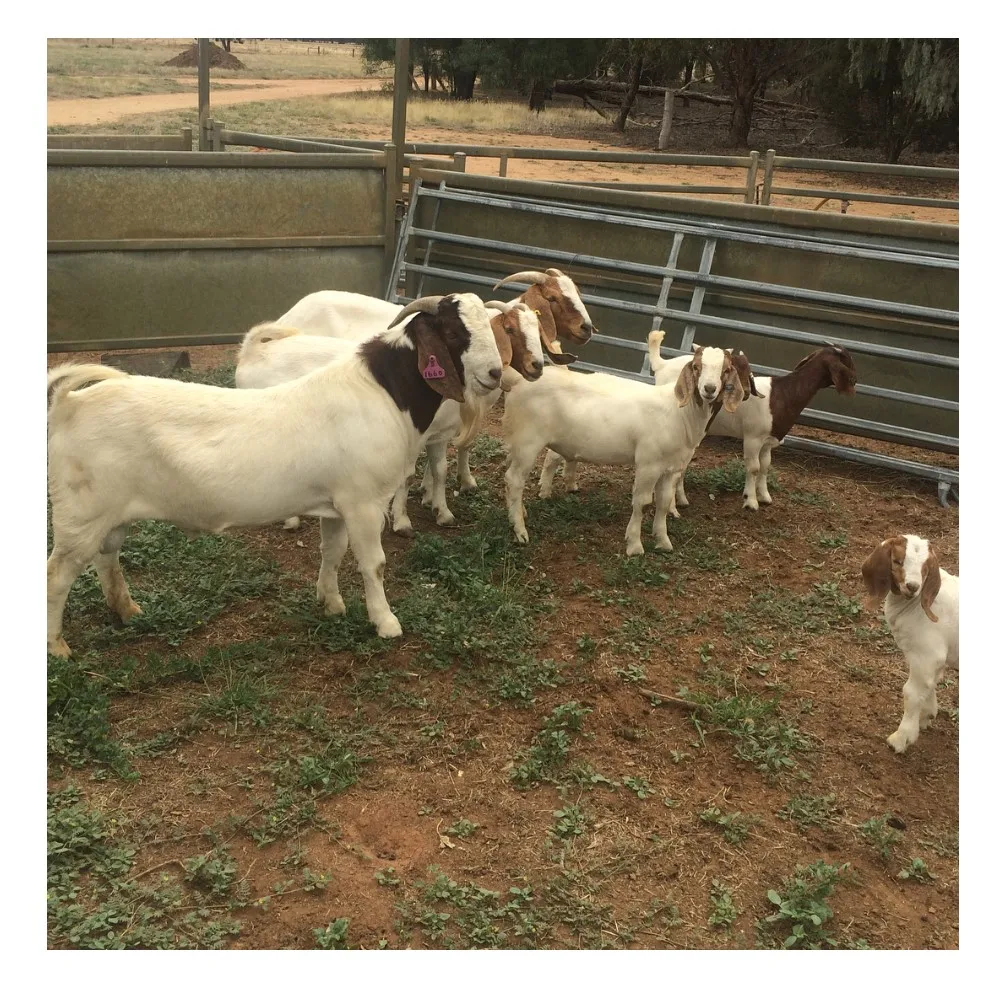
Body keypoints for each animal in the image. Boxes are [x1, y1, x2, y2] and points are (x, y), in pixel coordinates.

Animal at [46, 294, 502, 655]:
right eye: (453, 331)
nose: (496, 373)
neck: (383, 391)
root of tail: (70, 404)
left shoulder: (337, 503)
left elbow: (332, 552)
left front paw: (331, 603)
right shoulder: (364, 501)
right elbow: (373, 564)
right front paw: (386, 622)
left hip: (107, 514)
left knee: (107, 558)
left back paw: (127, 611)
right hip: (79, 515)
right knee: (56, 576)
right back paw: (58, 649)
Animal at [502, 346, 750, 554]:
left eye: (726, 370)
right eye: (697, 366)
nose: (709, 389)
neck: (680, 413)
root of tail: (519, 381)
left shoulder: (670, 468)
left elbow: (664, 502)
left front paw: (663, 541)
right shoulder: (649, 463)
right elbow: (642, 502)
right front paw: (635, 545)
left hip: (521, 441)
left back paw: (519, 514)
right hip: (528, 440)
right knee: (514, 480)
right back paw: (520, 531)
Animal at [647, 334, 857, 511]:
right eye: (847, 360)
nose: (856, 380)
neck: (782, 394)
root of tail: (662, 365)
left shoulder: (767, 442)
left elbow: (765, 466)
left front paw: (764, 496)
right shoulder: (753, 438)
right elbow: (754, 468)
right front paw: (751, 501)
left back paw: (681, 499)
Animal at [861, 534, 959, 753]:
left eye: (925, 568)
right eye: (897, 561)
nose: (913, 586)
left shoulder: (926, 655)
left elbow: (911, 692)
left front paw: (901, 738)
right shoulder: (932, 659)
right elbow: (931, 683)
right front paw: (927, 714)